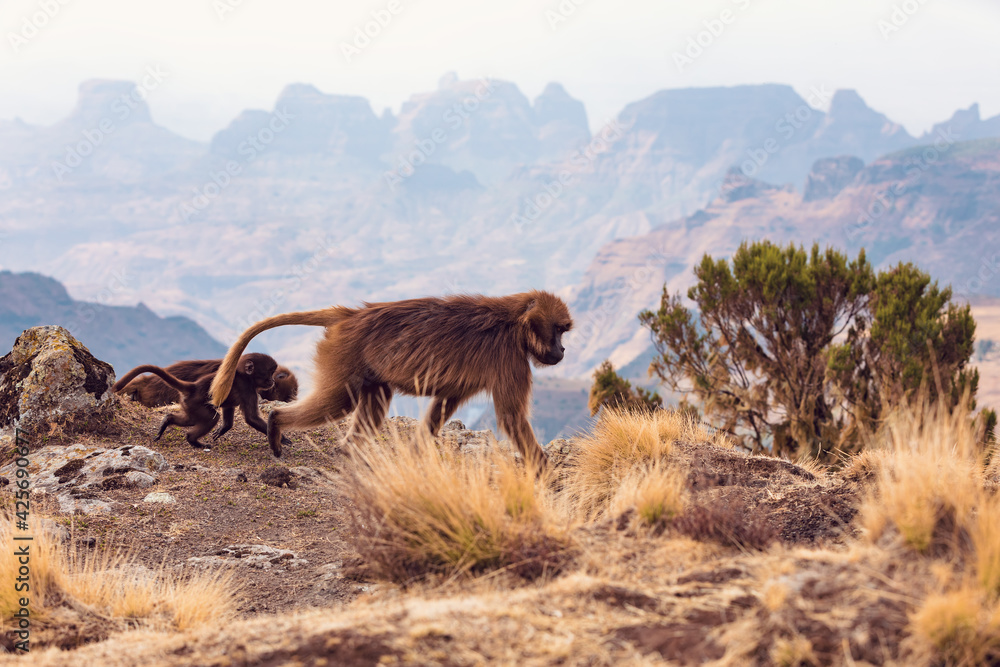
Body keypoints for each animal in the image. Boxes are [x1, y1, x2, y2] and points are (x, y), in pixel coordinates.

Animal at [113, 353, 278, 450]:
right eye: (269, 373)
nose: (272, 381)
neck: (245, 375)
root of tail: (194, 387)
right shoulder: (248, 389)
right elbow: (251, 418)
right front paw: (281, 439)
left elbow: (229, 407)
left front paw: (223, 428)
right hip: (196, 404)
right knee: (211, 418)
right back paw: (193, 440)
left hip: (188, 404)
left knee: (190, 419)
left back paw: (167, 421)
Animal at [209, 291, 573, 471]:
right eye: (557, 330)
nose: (562, 351)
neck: (515, 321)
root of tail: (352, 314)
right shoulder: (511, 358)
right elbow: (511, 418)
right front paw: (544, 468)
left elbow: (445, 403)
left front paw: (416, 451)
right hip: (343, 354)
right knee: (339, 400)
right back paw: (276, 424)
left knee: (373, 400)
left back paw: (350, 450)